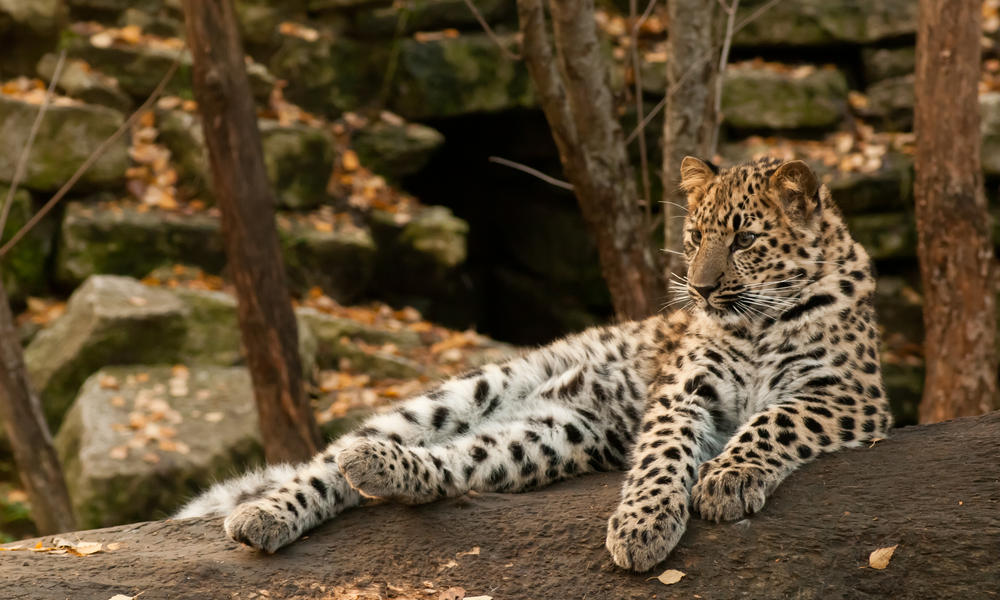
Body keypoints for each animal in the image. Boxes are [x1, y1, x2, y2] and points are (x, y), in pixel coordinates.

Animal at [175, 156, 892, 572]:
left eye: (744, 240)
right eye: (694, 239)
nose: (701, 289)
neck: (759, 320)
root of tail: (565, 389)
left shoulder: (851, 395)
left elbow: (774, 420)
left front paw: (726, 478)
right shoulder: (684, 390)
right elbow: (663, 454)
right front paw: (645, 524)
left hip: (554, 436)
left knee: (445, 471)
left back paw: (377, 469)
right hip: (470, 392)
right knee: (333, 459)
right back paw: (271, 511)